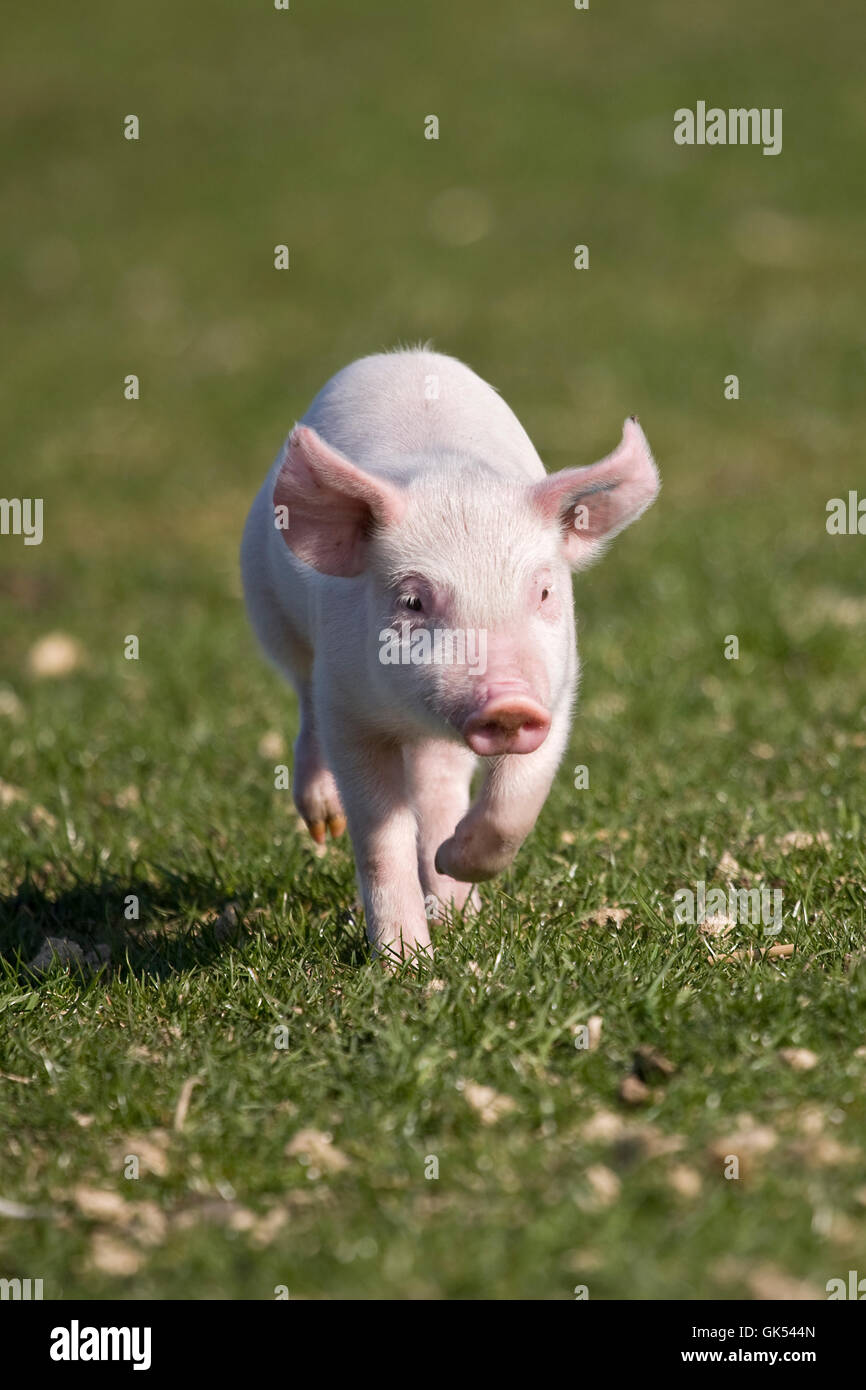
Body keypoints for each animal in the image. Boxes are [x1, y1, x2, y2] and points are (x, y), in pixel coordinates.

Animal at [241, 349, 659, 961]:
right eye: (413, 600)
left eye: (543, 592)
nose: (508, 701)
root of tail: (403, 355)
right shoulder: (347, 703)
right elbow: (379, 837)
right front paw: (405, 964)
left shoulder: (556, 690)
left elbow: (518, 798)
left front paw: (449, 867)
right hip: (272, 613)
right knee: (304, 701)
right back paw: (326, 826)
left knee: (439, 782)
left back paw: (458, 905)